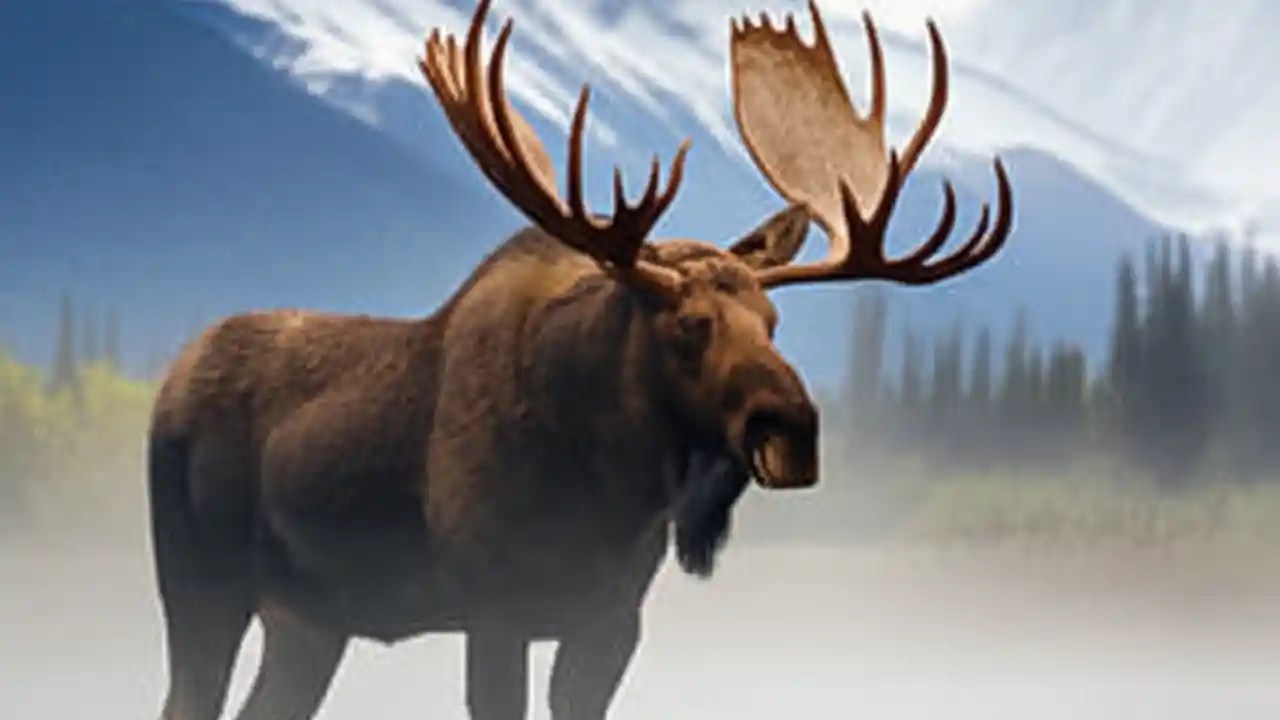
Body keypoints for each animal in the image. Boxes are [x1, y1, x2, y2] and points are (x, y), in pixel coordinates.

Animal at [146, 1, 1012, 718]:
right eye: (688, 323)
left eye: (773, 320)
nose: (793, 431)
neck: (606, 485)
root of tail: (172, 375)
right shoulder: (495, 612)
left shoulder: (610, 623)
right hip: (201, 586)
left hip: (312, 621)